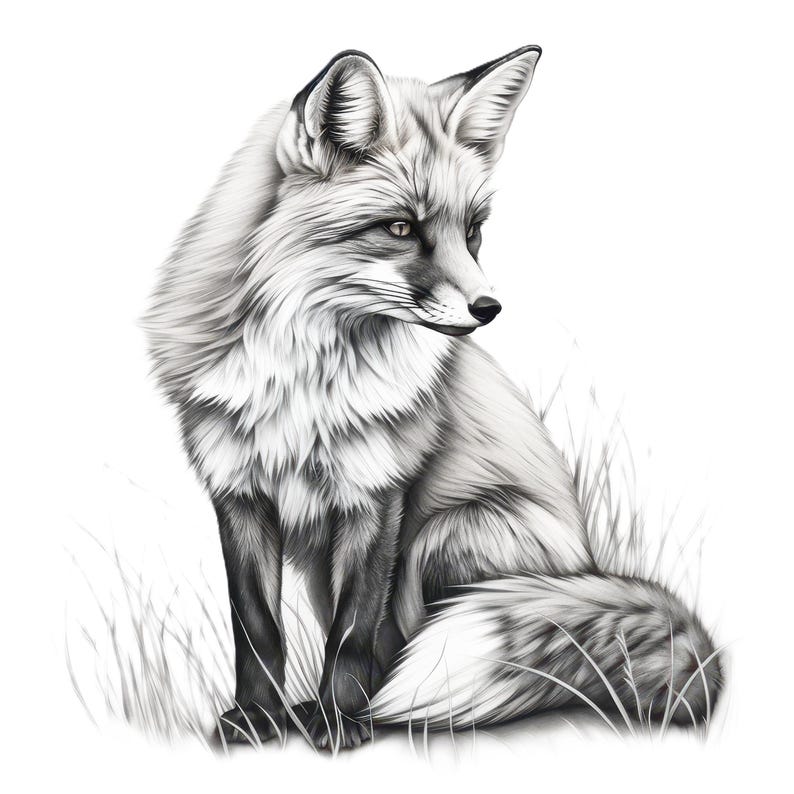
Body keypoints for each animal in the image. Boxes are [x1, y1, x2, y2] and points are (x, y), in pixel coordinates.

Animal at [143, 46, 722, 750]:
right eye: (399, 227)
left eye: (472, 231)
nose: (489, 308)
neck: (306, 383)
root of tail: (585, 569)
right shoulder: (237, 491)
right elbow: (256, 629)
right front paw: (257, 717)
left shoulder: (378, 493)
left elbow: (352, 630)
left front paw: (339, 720)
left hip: (449, 534)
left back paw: (382, 712)